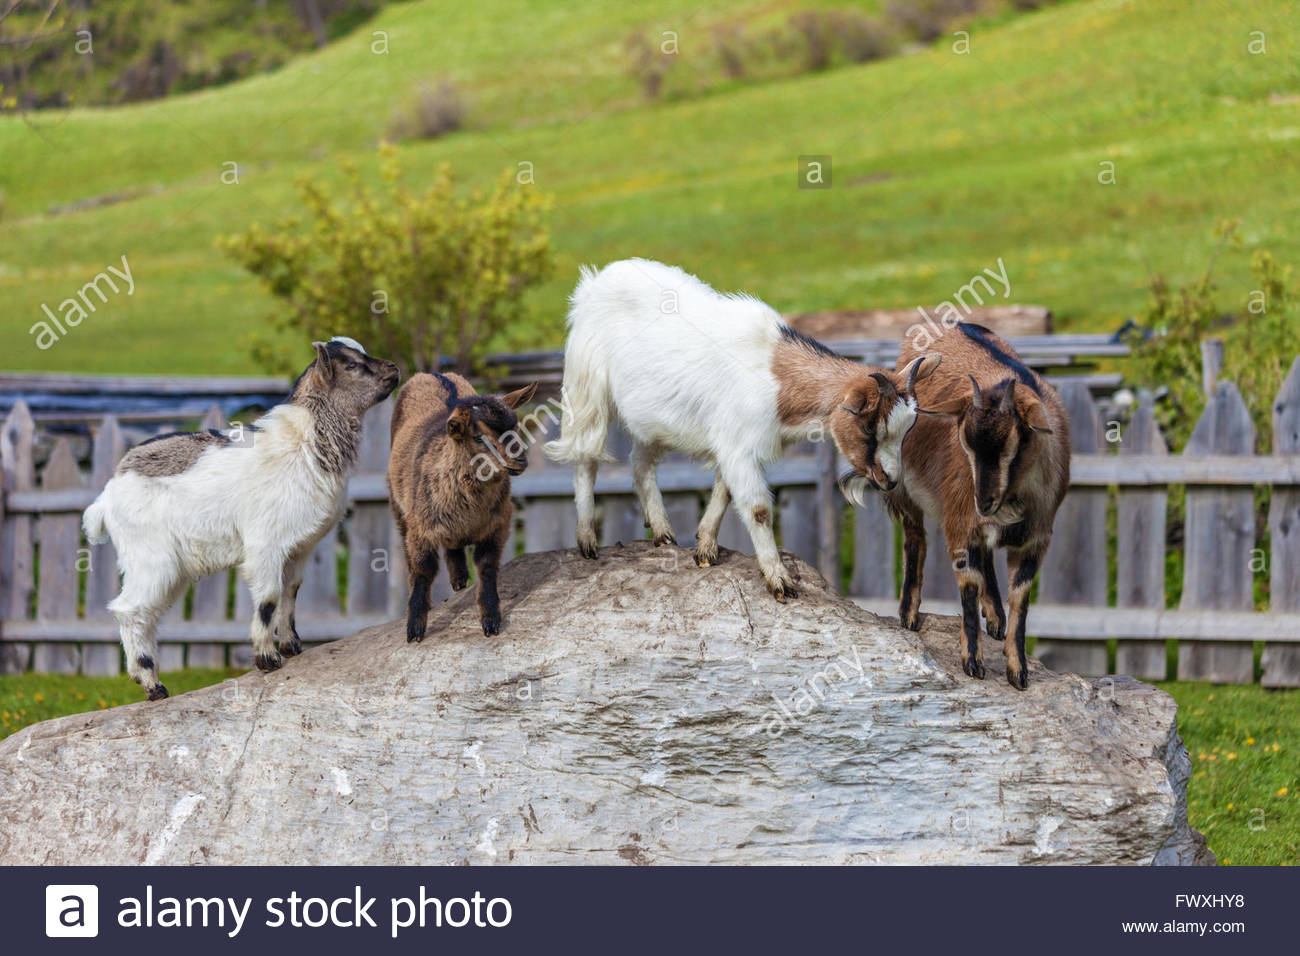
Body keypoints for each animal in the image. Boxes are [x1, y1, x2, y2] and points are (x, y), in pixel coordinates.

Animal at [82, 338, 399, 700]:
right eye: (351, 365)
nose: (394, 369)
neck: (305, 442)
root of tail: (107, 495)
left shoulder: (298, 548)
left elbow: (290, 592)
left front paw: (291, 646)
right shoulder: (266, 544)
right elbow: (269, 598)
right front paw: (267, 658)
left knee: (146, 615)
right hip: (150, 558)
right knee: (129, 610)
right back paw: (152, 683)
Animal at [388, 372, 538, 642]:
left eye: (515, 427)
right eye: (478, 437)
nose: (520, 461)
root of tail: (430, 373)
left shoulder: (498, 524)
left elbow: (486, 565)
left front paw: (491, 620)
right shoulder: (419, 528)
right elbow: (423, 570)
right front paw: (414, 628)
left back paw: (459, 579)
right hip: (397, 505)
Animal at [543, 258, 941, 602]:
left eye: (906, 430)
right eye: (871, 428)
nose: (891, 480)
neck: (777, 377)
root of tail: (595, 280)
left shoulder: (733, 443)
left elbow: (723, 493)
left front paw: (704, 548)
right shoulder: (739, 445)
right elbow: (758, 509)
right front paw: (779, 581)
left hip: (654, 420)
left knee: (640, 464)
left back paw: (662, 532)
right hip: (586, 386)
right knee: (585, 458)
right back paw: (587, 539)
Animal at [882, 322, 1070, 689]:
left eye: (1013, 443)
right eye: (965, 445)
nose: (983, 501)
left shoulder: (1035, 539)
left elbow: (1020, 599)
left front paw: (1018, 669)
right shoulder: (960, 524)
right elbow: (968, 586)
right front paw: (972, 661)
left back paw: (995, 617)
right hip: (904, 487)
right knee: (915, 537)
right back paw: (908, 613)